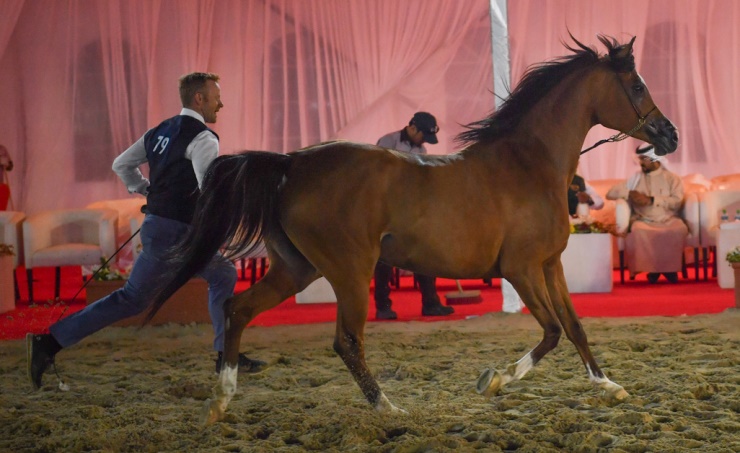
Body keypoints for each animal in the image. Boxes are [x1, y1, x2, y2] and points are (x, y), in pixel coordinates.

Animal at [147, 35, 678, 425]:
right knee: (346, 340)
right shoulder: (521, 268)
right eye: (635, 85)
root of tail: (290, 164)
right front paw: (494, 380)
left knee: (237, 309)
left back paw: (221, 401)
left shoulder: (550, 265)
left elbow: (575, 327)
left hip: (297, 269)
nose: (669, 135)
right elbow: (549, 333)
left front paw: (608, 385)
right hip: (349, 270)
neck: (531, 163)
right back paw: (388, 408)